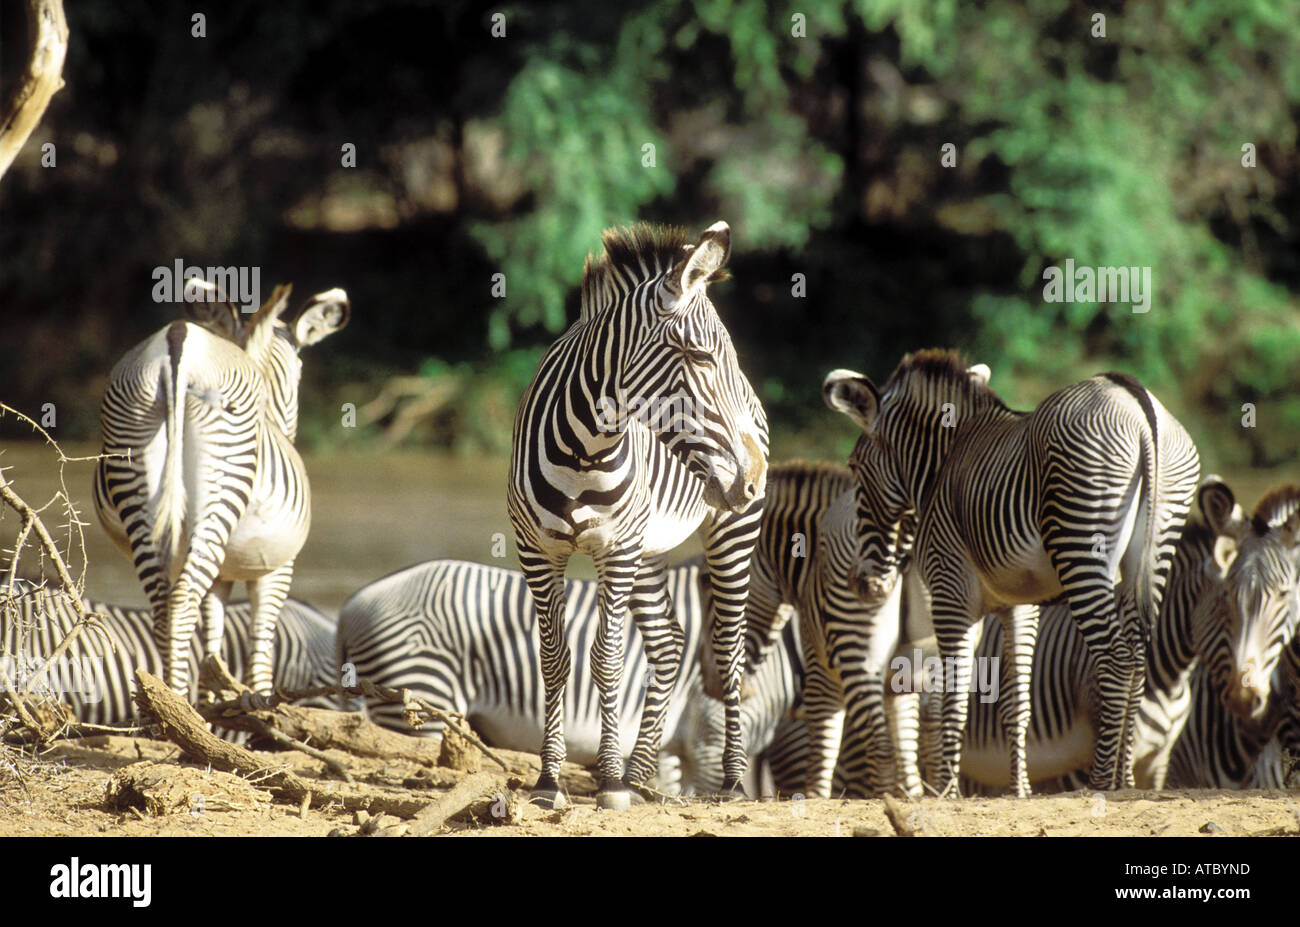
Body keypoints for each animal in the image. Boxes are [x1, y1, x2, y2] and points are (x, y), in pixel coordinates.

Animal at [93, 285, 348, 698]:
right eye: (299, 374)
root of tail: (176, 344)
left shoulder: (222, 576)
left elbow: (213, 645)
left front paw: (216, 699)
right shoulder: (276, 569)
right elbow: (259, 651)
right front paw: (255, 703)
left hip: (137, 475)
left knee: (163, 609)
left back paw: (165, 702)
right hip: (221, 489)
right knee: (180, 605)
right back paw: (176, 706)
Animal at [507, 222, 768, 809]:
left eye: (719, 359)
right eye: (701, 358)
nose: (753, 479)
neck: (583, 449)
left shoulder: (615, 550)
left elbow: (607, 659)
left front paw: (608, 781)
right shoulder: (538, 551)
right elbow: (554, 659)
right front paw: (550, 779)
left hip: (729, 533)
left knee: (729, 647)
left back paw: (732, 780)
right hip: (649, 549)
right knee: (669, 643)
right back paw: (643, 772)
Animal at [823, 350, 1200, 793]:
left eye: (854, 467)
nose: (862, 585)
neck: (940, 466)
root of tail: (1137, 405)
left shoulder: (950, 595)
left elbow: (955, 697)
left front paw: (946, 790)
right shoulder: (1020, 605)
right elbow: (1016, 703)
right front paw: (1019, 789)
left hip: (1081, 544)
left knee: (1115, 657)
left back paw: (1100, 782)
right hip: (1154, 550)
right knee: (1139, 658)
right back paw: (1124, 780)